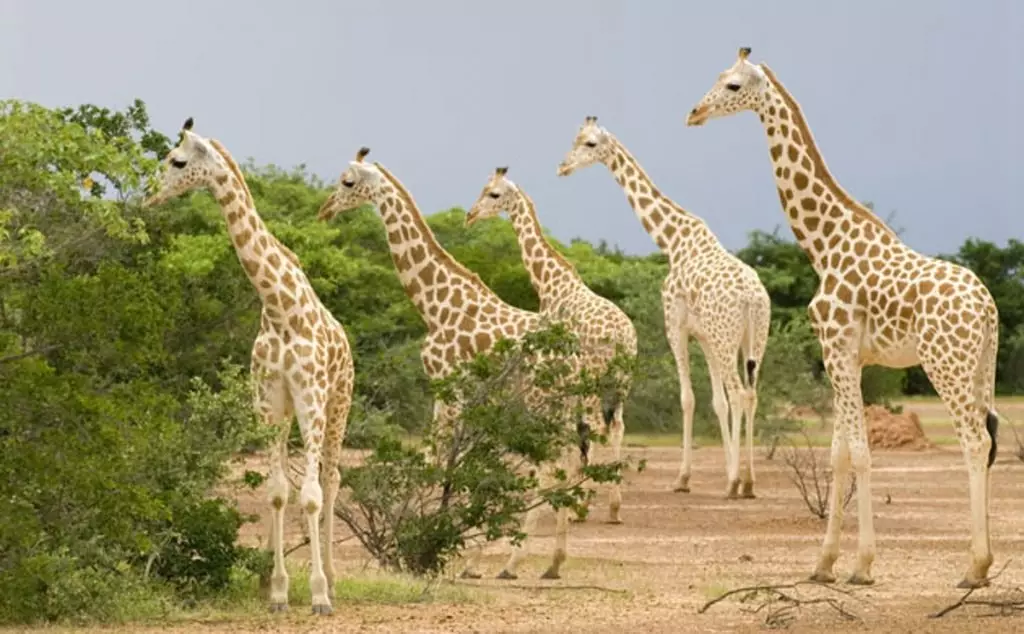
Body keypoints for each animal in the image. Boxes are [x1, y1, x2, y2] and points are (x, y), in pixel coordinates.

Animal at [142, 118, 354, 614]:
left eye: (177, 161)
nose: (148, 196)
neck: (279, 309)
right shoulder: (269, 400)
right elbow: (277, 492)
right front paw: (276, 591)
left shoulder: (312, 398)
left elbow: (311, 496)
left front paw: (318, 595)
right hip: (296, 410)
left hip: (338, 404)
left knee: (332, 478)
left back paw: (335, 582)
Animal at [319, 147, 589, 581]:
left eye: (347, 182)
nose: (325, 208)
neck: (433, 305)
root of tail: (575, 355)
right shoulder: (451, 390)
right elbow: (446, 460)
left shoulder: (449, 384)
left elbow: (441, 460)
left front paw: (427, 545)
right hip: (560, 406)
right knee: (568, 466)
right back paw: (553, 563)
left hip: (539, 401)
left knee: (549, 468)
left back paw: (511, 564)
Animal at [466, 165, 638, 524]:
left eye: (493, 193)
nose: (470, 215)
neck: (549, 282)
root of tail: (622, 340)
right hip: (621, 383)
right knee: (616, 427)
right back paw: (613, 508)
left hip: (594, 380)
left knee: (597, 427)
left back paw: (583, 506)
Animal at [561, 116, 770, 497]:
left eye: (589, 143)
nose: (563, 167)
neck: (673, 242)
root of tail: (752, 298)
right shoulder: (706, 336)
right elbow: (717, 401)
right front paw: (721, 471)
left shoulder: (676, 325)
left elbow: (689, 398)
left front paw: (684, 479)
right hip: (754, 339)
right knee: (750, 394)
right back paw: (748, 482)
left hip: (728, 338)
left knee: (740, 394)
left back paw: (737, 482)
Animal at [688, 48, 999, 589]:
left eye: (731, 86)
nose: (695, 113)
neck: (824, 246)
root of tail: (986, 306)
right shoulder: (847, 358)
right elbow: (838, 454)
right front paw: (823, 563)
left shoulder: (837, 349)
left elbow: (860, 451)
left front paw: (862, 565)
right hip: (981, 365)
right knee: (986, 442)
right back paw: (981, 566)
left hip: (946, 365)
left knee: (975, 441)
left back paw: (974, 567)